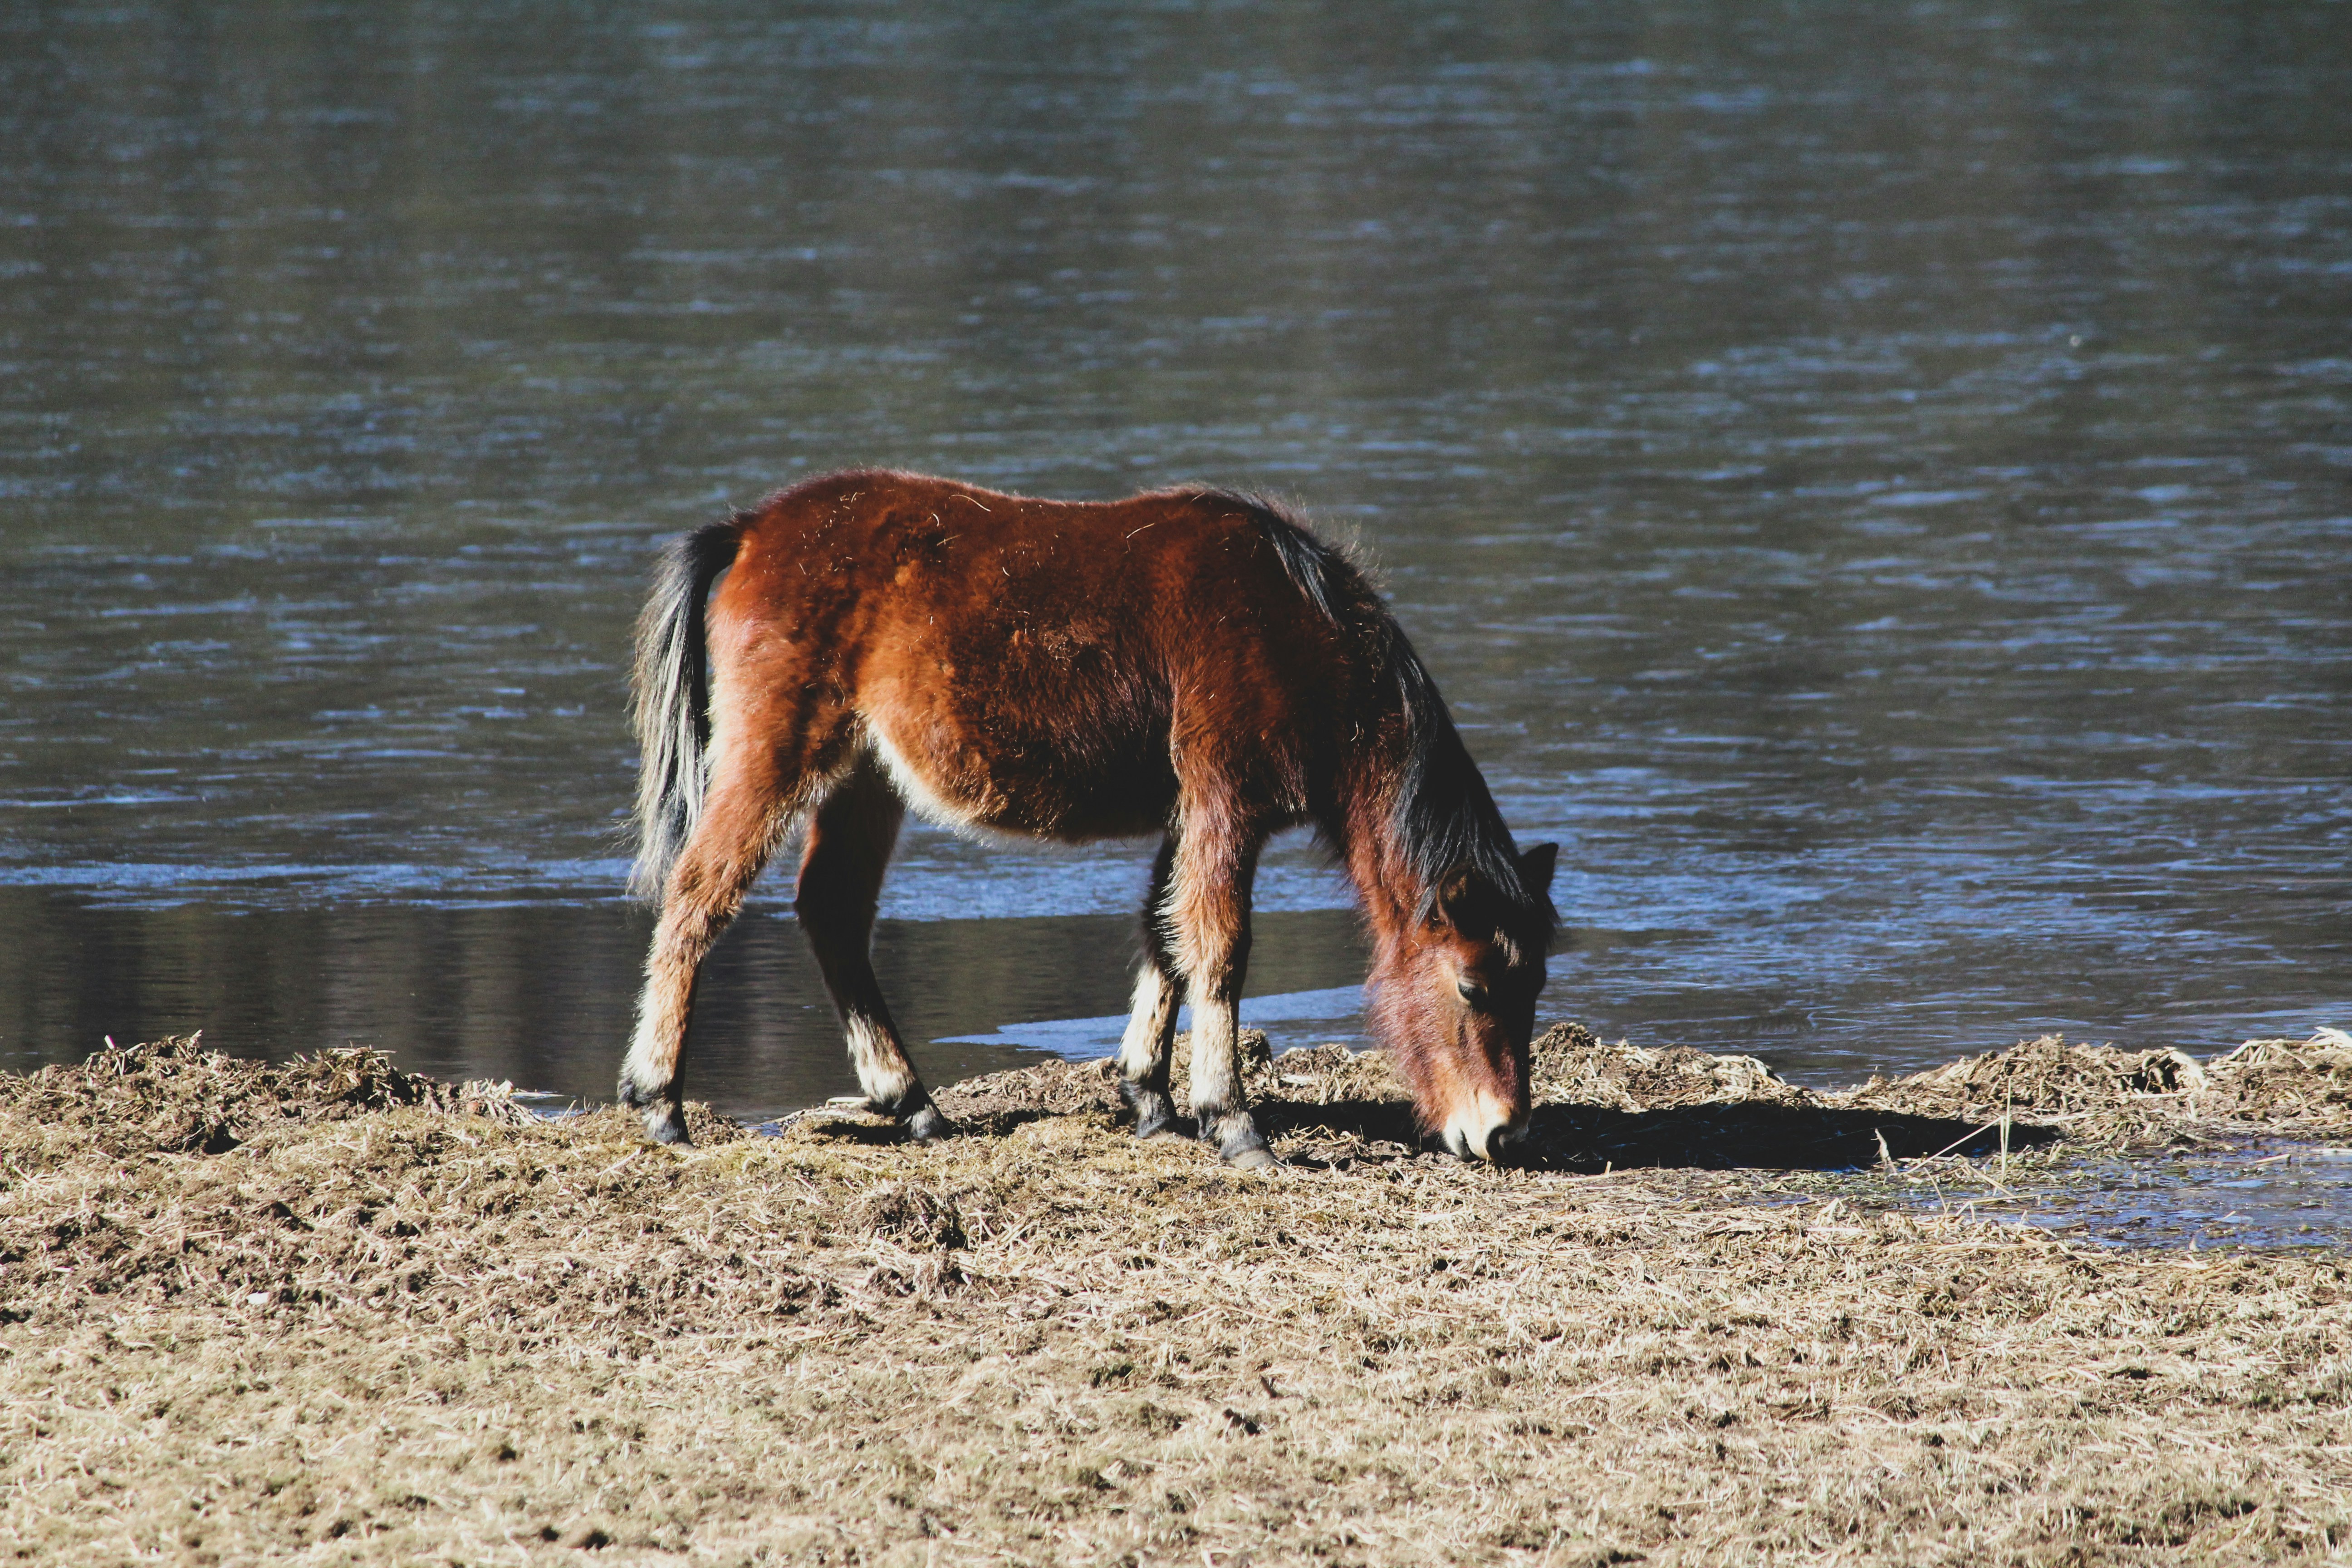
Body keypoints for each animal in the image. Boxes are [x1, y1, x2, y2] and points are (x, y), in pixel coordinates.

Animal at [617, 470, 1558, 1167]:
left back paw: (912, 1103)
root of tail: (749, 530)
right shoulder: (1224, 803)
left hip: (865, 779)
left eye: (1534, 984)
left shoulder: (1189, 812)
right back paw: (661, 1103)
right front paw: (1232, 1122)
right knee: (698, 896)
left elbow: (1164, 937)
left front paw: (1149, 1097)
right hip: (776, 756)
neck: (1294, 624)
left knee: (832, 912)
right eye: (1471, 986)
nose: (1503, 1133)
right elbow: (1218, 946)